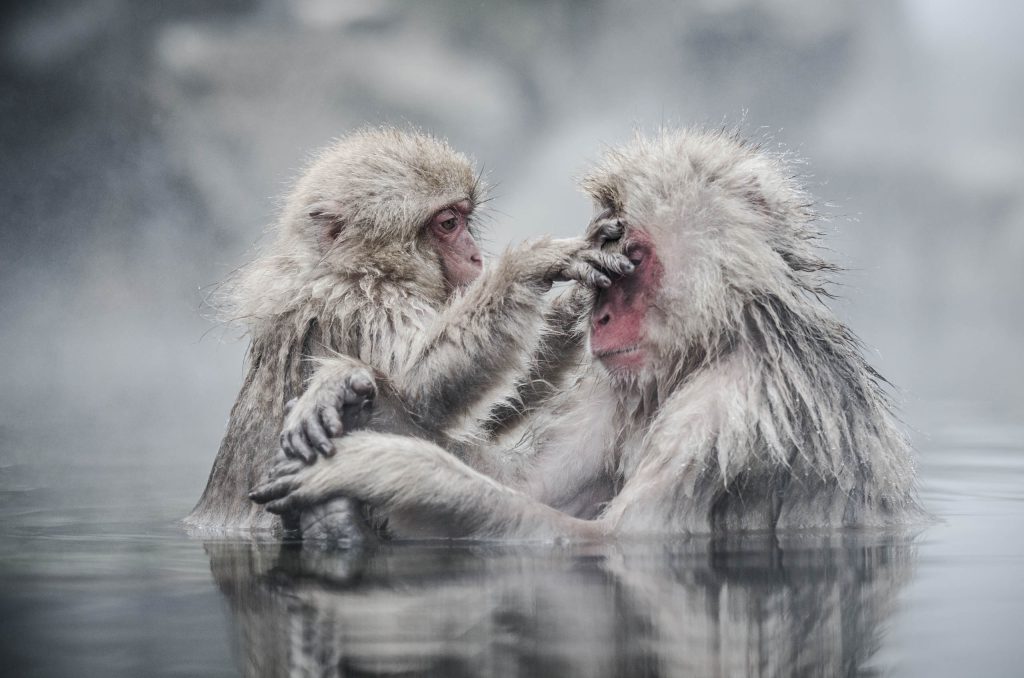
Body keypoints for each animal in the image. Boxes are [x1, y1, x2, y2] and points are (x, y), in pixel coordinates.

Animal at [186, 126, 633, 534]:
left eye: (466, 219)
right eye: (448, 223)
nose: (475, 256)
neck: (359, 268)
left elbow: (496, 408)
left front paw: (581, 293)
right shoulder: (369, 303)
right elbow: (423, 388)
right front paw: (532, 264)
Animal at [250, 126, 924, 539]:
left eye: (633, 260)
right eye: (608, 266)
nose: (597, 316)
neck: (715, 344)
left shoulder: (729, 411)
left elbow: (615, 540)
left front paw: (386, 467)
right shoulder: (619, 390)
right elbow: (533, 488)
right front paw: (348, 391)